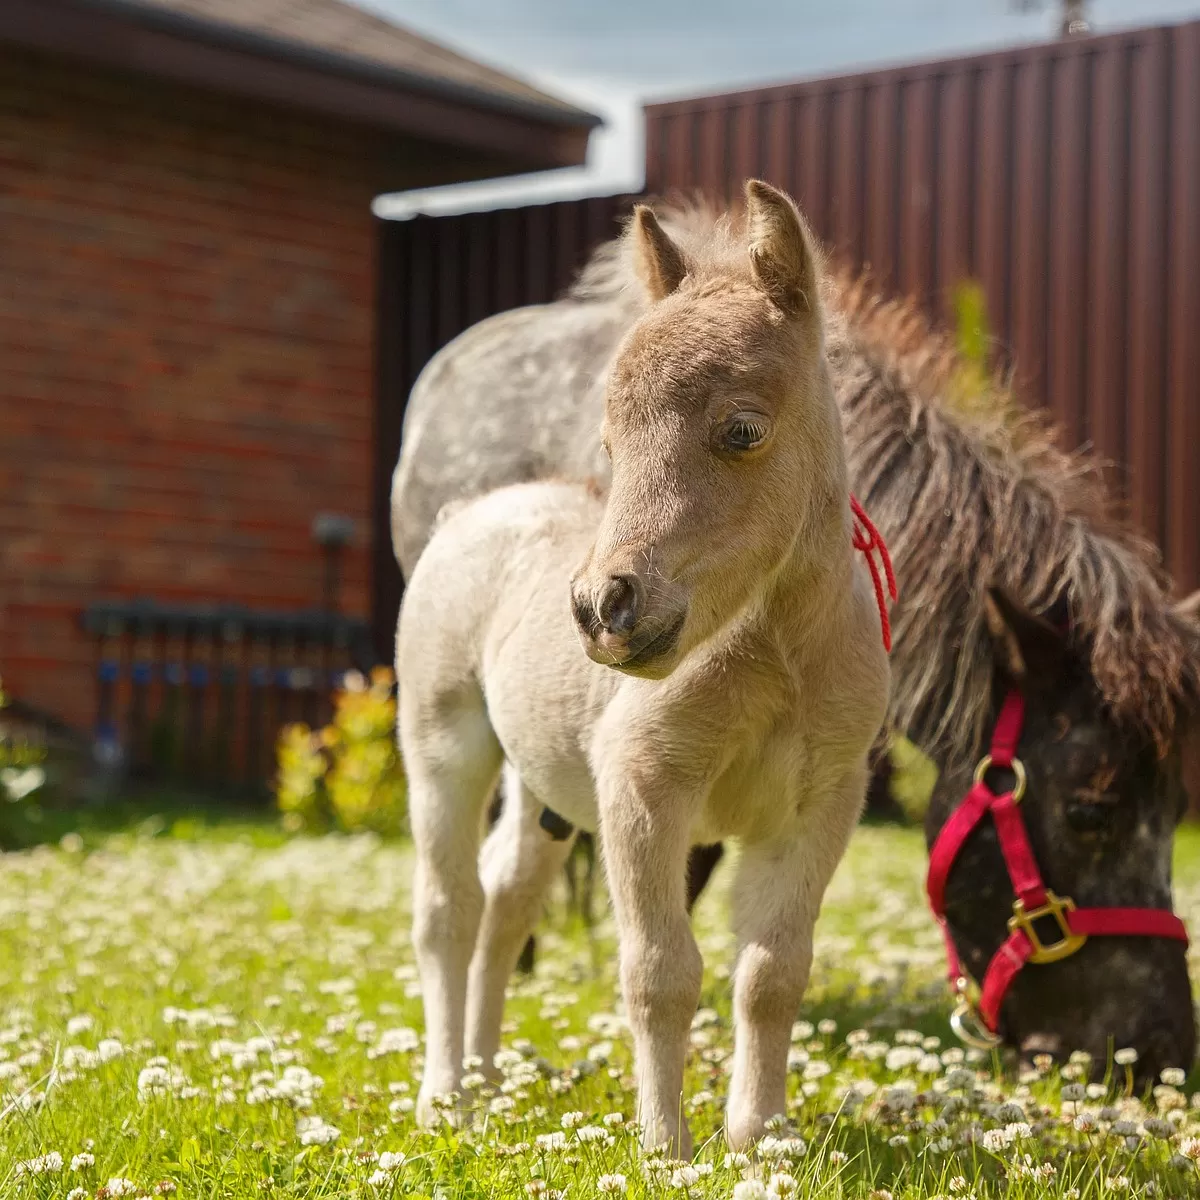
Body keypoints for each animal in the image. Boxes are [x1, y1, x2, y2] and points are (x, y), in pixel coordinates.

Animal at [396, 182, 892, 1156]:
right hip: (443, 748)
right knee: (448, 910)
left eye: (742, 430)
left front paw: (760, 1138)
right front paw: (667, 1147)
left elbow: (772, 973)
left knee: (508, 902)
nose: (602, 609)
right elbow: (660, 972)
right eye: (611, 442)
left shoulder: (821, 802)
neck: (772, 655)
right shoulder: (644, 788)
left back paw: (486, 1075)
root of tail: (477, 509)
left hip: (541, 786)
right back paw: (445, 1097)